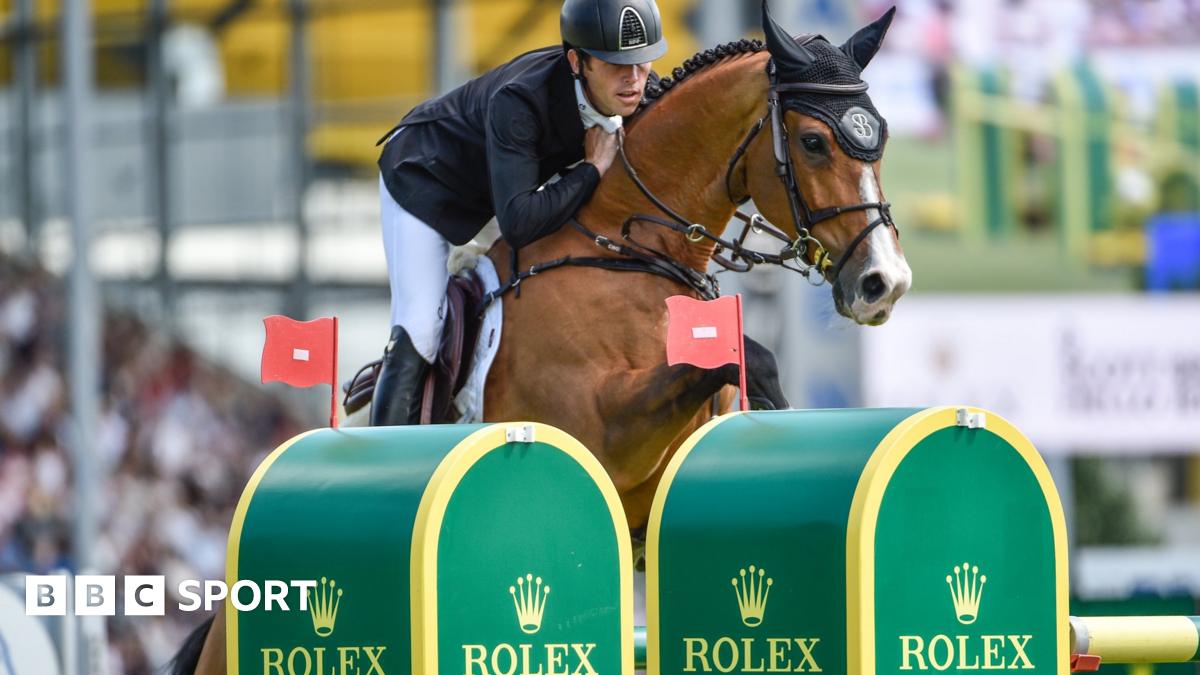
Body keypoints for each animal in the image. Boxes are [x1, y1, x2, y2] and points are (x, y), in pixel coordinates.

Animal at [174, 4, 910, 672]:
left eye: (880, 140)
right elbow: (735, 357)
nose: (886, 283)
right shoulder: (606, 428)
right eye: (813, 142)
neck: (630, 251)